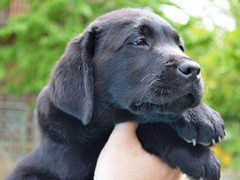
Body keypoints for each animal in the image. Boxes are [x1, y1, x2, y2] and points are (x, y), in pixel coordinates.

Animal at [7, 8, 225, 180]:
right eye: (139, 41)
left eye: (180, 47)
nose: (194, 69)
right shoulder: (76, 155)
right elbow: (148, 125)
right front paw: (199, 155)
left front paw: (202, 115)